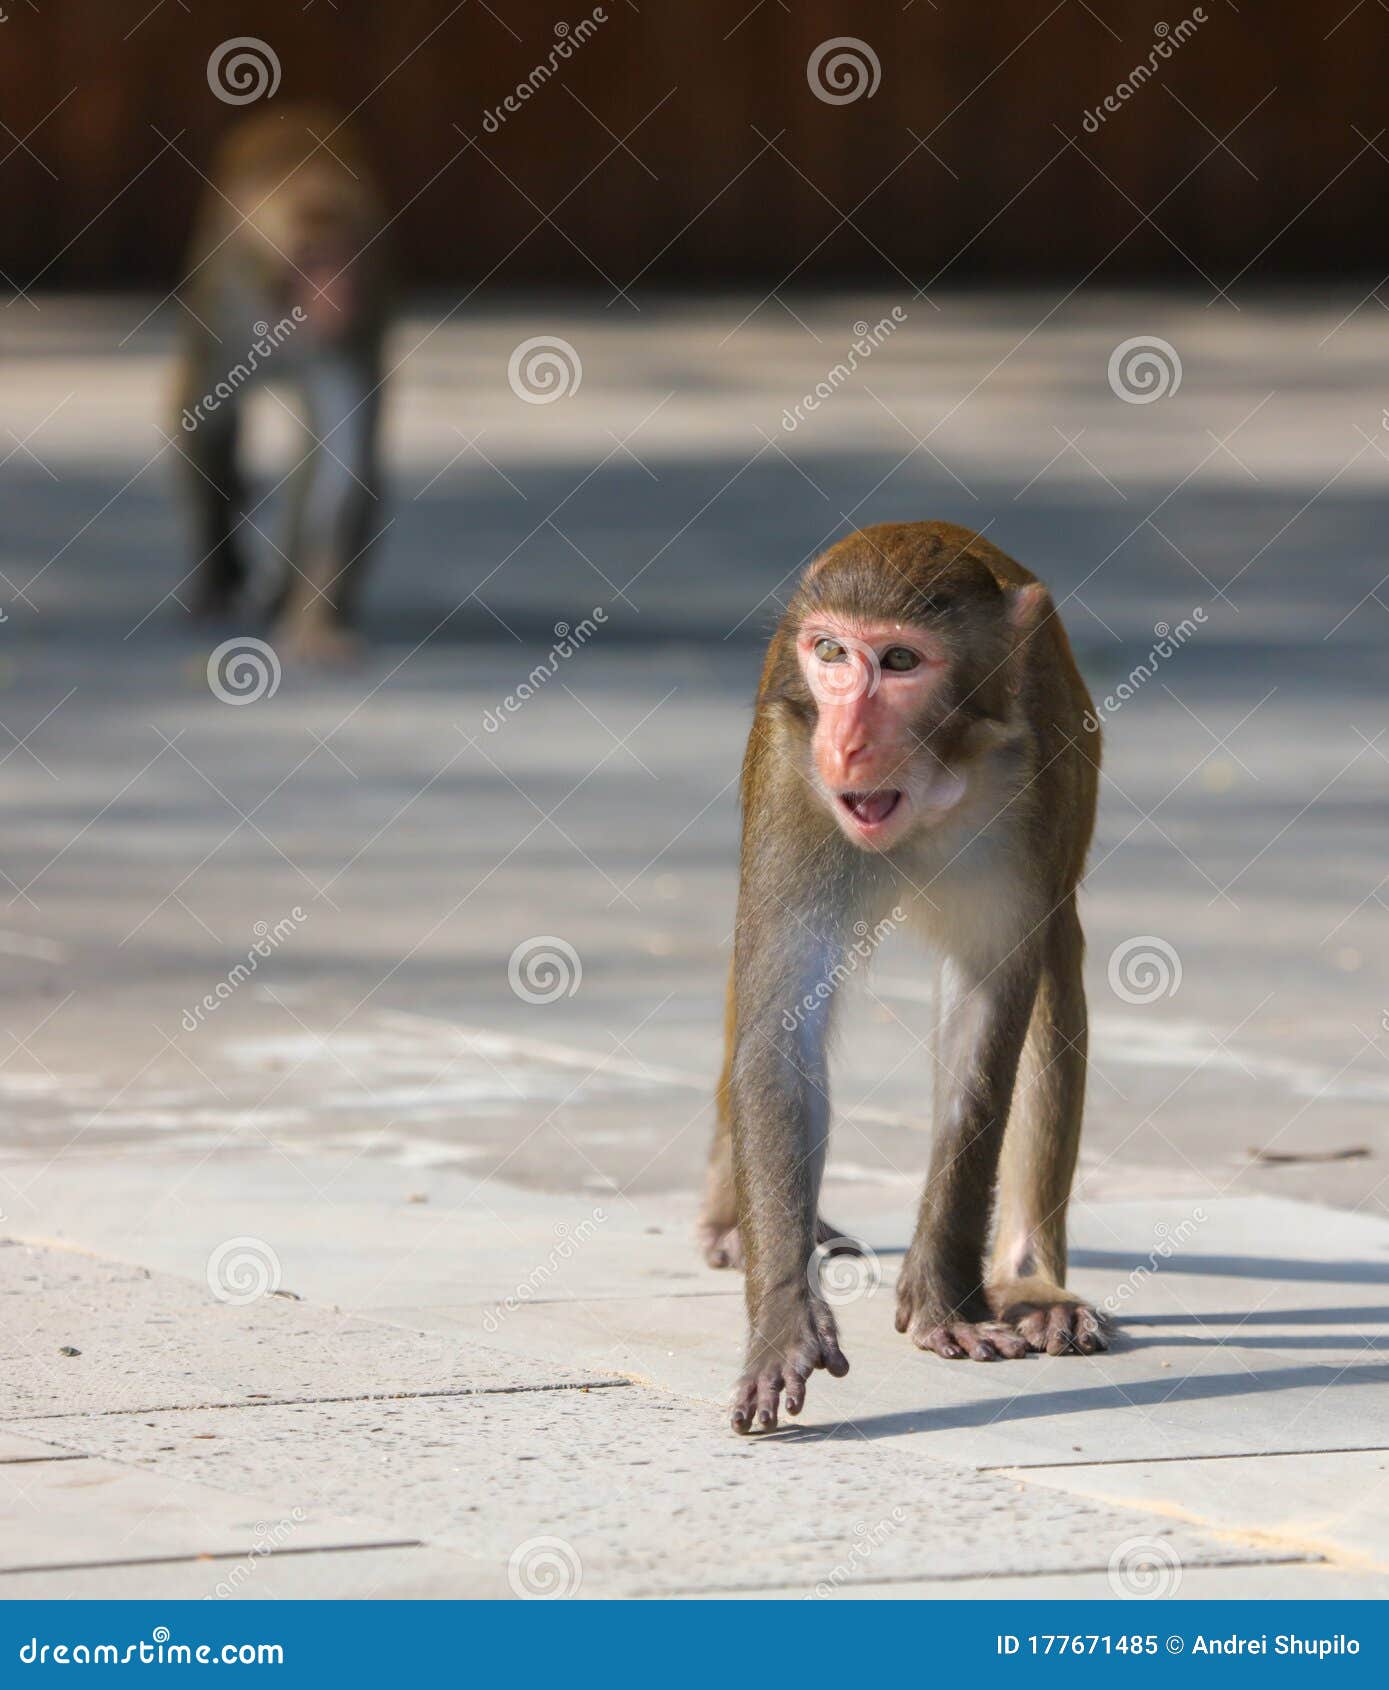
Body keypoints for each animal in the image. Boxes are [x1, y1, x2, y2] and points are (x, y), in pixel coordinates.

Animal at [172, 104, 392, 662]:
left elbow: (341, 462)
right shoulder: (226, 304)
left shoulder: (361, 325)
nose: (338, 296)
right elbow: (202, 415)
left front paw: (313, 624)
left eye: (345, 256)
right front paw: (219, 578)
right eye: (310, 256)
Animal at [698, 521, 1107, 1434]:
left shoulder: (1032, 784)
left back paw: (1030, 1282)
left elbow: (989, 1016)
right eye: (830, 653)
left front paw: (943, 1301)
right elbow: (779, 1022)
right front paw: (783, 1315)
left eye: (900, 662)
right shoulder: (790, 779)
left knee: (1056, 957)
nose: (845, 742)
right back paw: (734, 1221)